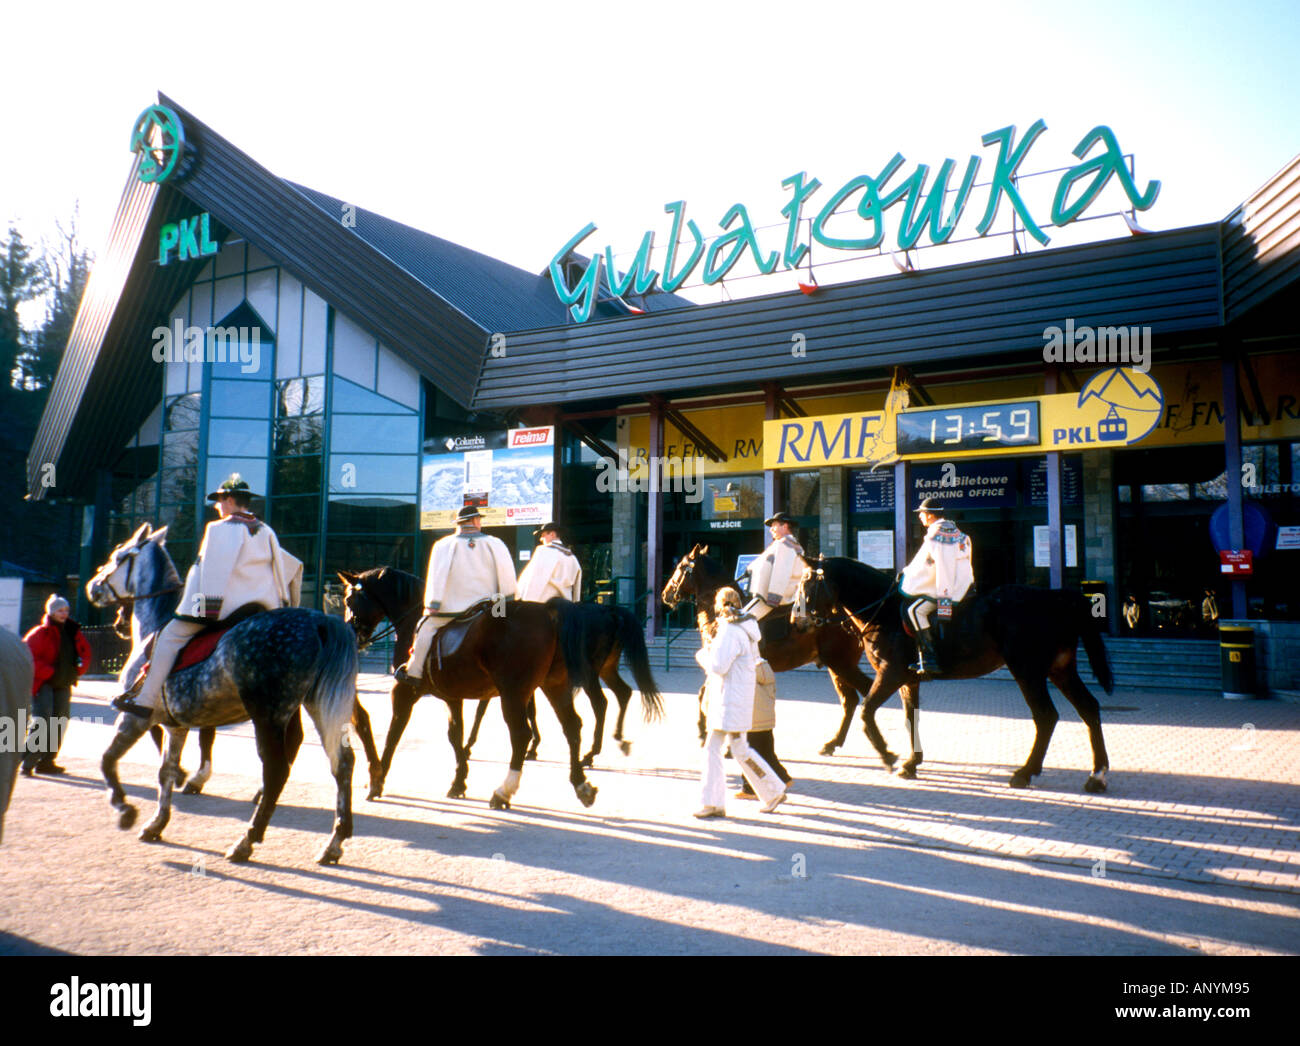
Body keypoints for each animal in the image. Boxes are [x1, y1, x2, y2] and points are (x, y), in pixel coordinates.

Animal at [90, 522, 361, 862]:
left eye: (118, 556)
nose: (93, 586)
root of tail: (319, 621)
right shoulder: (175, 726)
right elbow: (165, 771)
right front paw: (157, 823)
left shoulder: (135, 717)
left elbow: (107, 759)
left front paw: (124, 808)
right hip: (315, 708)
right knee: (342, 763)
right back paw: (334, 841)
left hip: (267, 716)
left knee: (276, 770)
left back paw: (247, 839)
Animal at [335, 563, 639, 805]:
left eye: (350, 600)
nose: (351, 633)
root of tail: (547, 612)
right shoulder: (453, 697)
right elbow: (455, 734)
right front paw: (459, 780)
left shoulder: (405, 692)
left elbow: (394, 733)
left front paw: (377, 779)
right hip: (554, 686)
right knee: (573, 726)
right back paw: (581, 781)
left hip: (515, 693)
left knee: (523, 734)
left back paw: (504, 790)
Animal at [660, 537, 873, 748]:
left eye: (681, 566)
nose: (666, 594)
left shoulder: (721, 662)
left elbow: (704, 693)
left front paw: (703, 731)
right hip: (835, 666)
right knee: (850, 700)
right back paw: (834, 742)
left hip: (841, 664)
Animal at [790, 556, 1118, 790]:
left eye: (809, 585)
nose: (796, 621)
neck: (885, 611)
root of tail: (1057, 597)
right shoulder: (908, 681)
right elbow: (910, 717)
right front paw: (911, 762)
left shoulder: (890, 674)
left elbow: (867, 712)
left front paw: (888, 755)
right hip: (1059, 670)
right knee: (1089, 709)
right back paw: (1096, 775)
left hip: (1028, 672)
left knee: (1046, 716)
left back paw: (1025, 772)